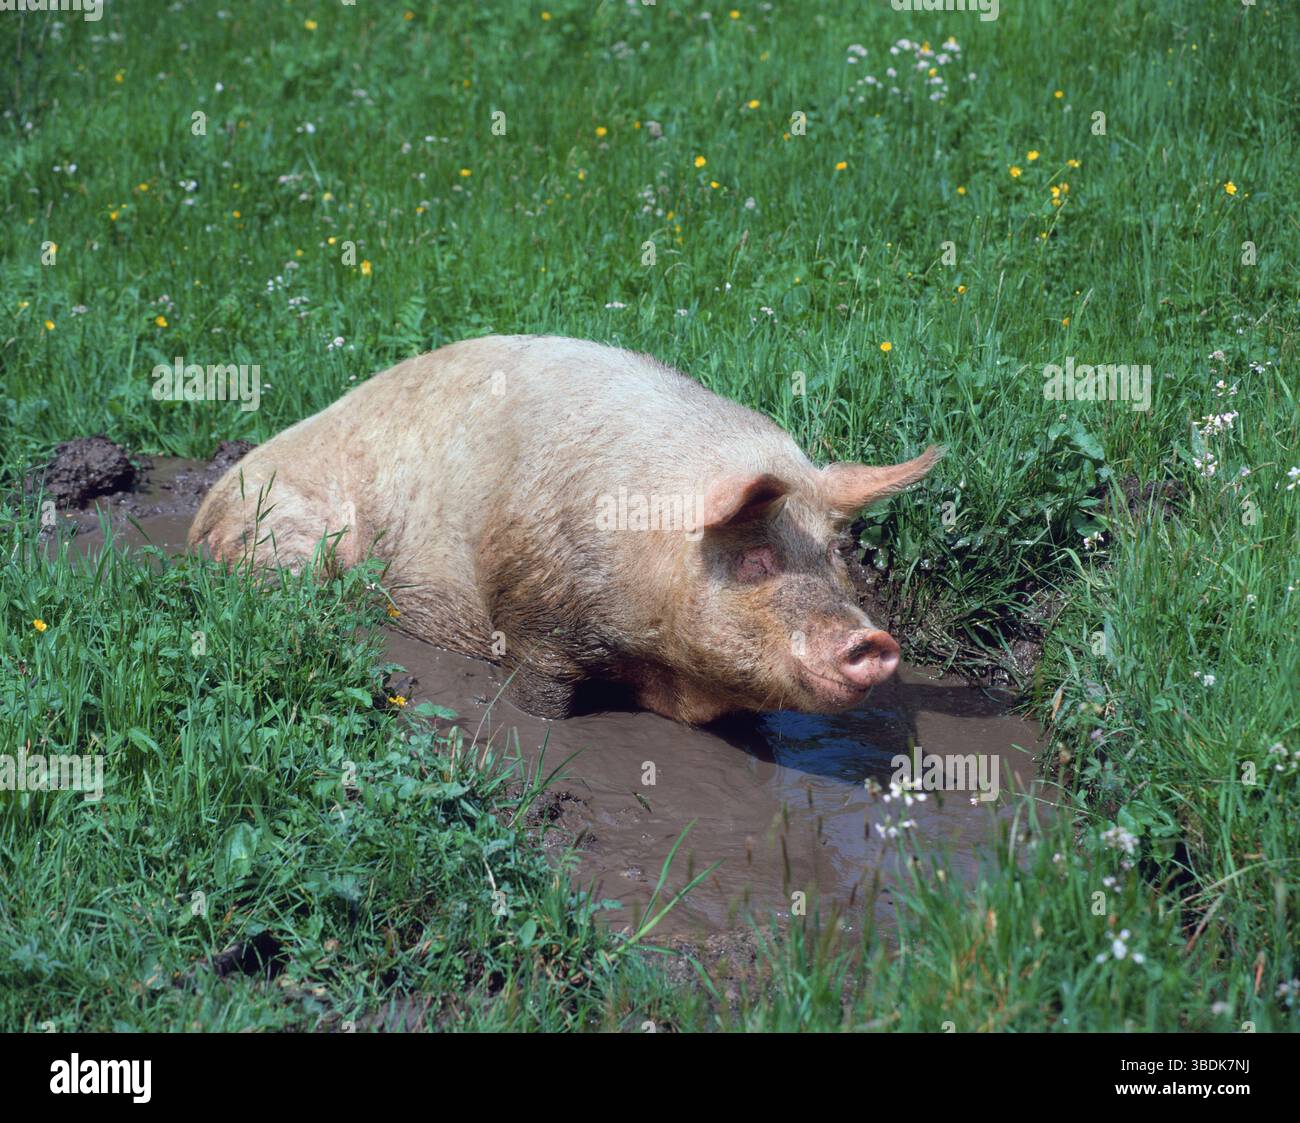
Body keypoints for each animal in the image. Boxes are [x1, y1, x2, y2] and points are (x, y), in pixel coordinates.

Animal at [189, 335, 941, 724]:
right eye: (755, 558)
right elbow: (542, 690)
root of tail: (200, 515)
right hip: (289, 535)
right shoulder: (535, 609)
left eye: (836, 555)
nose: (872, 640)